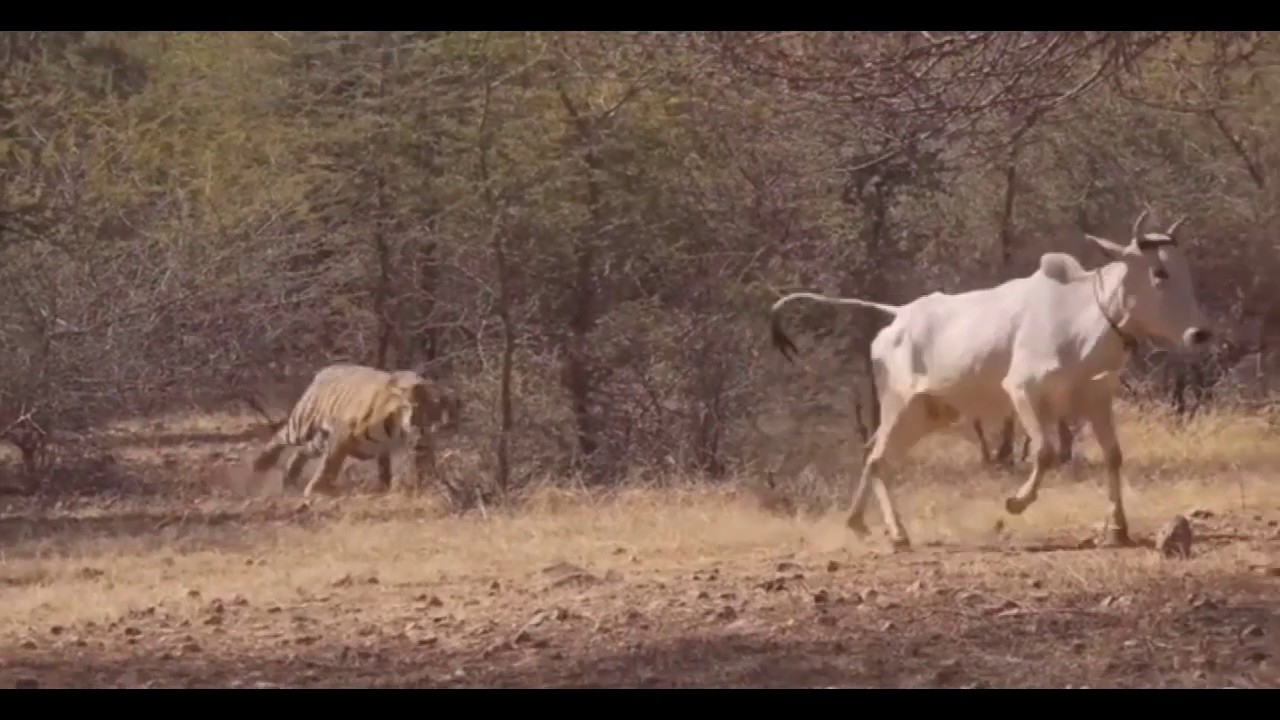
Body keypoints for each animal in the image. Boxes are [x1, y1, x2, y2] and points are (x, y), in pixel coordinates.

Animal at [249, 363, 460, 497]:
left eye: (442, 411)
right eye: (419, 410)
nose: (439, 426)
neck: (400, 432)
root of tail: (325, 370)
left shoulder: (420, 448)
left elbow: (425, 468)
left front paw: (431, 487)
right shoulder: (342, 435)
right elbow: (330, 464)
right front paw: (317, 490)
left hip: (319, 440)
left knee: (301, 451)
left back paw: (289, 478)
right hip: (303, 423)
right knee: (280, 436)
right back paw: (261, 465)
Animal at [769, 210, 1211, 551]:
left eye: (1185, 271)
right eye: (1158, 272)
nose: (1200, 333)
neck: (1085, 316)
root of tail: (898, 316)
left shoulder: (1097, 399)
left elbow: (1114, 456)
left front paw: (1117, 529)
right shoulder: (1024, 392)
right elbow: (1046, 451)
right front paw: (1016, 502)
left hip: (928, 414)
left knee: (873, 454)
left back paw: (858, 522)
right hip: (900, 405)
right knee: (878, 460)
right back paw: (896, 534)